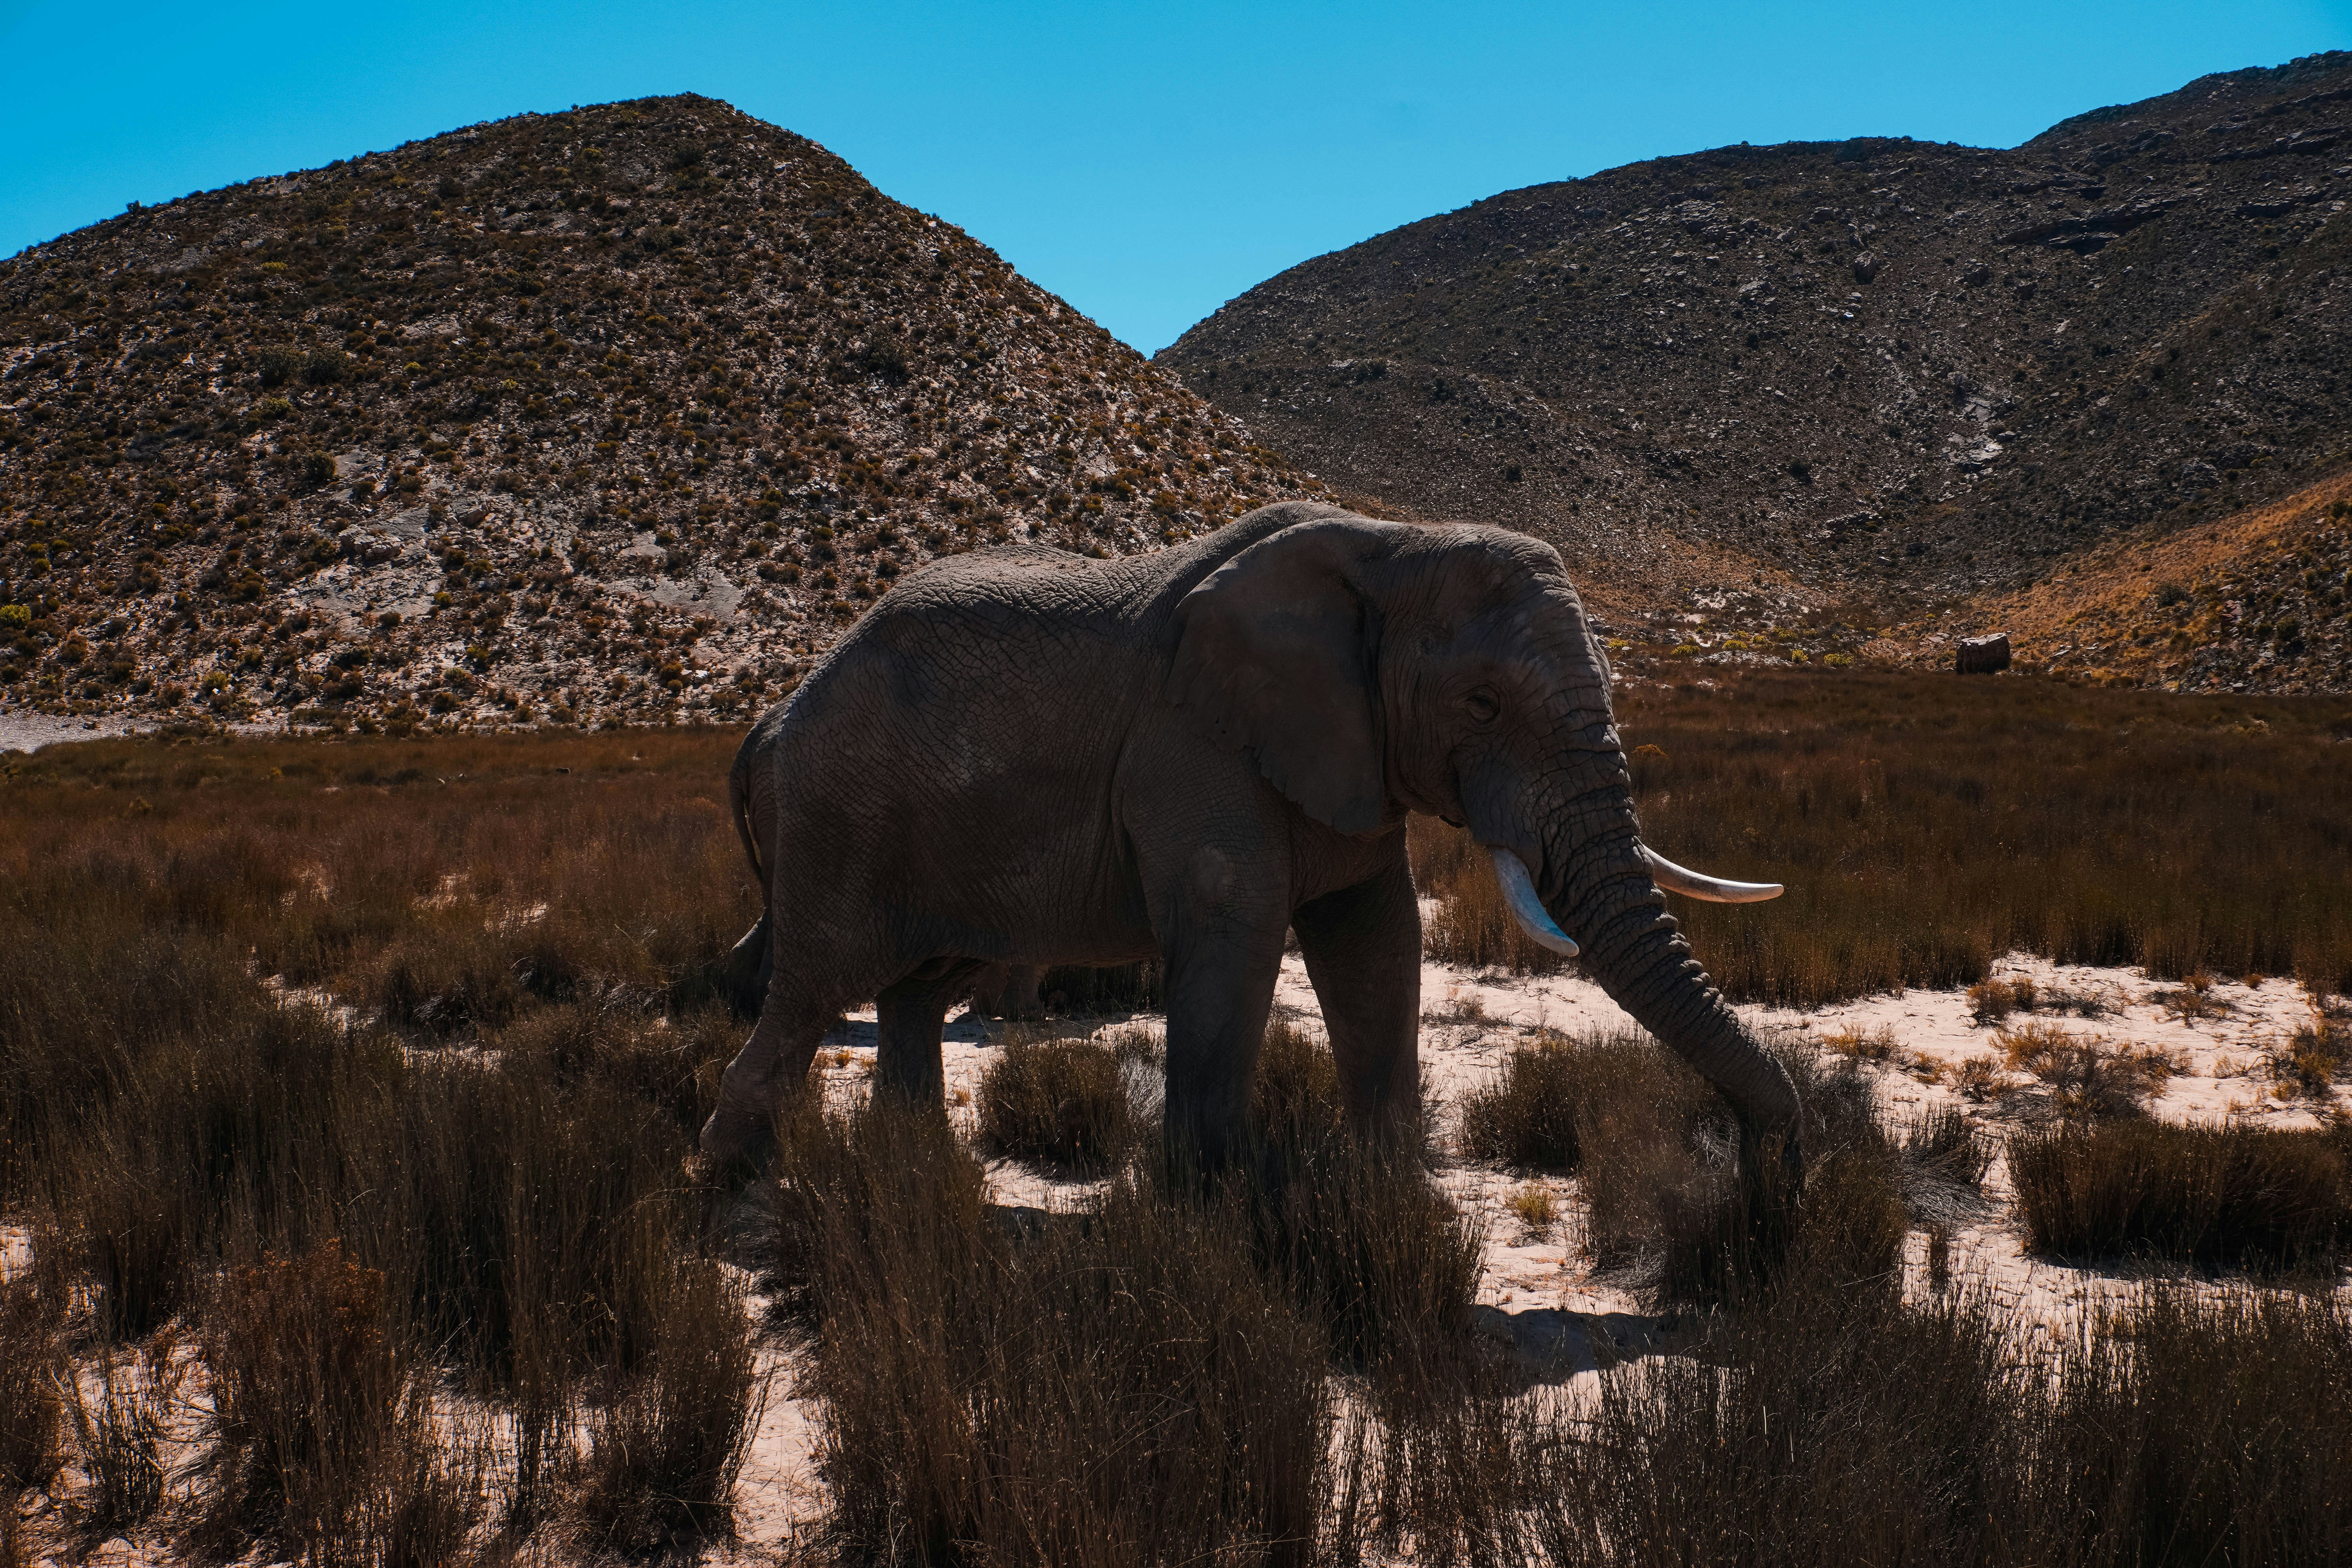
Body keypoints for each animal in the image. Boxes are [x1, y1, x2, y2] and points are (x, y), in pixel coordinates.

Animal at [701, 501, 1798, 1172]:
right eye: (1482, 704)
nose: (1769, 1168)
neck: (1389, 544)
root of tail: (787, 702)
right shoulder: (1195, 743)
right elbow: (1239, 926)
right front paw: (1215, 1206)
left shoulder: (1351, 752)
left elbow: (1376, 939)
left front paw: (1392, 1193)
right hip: (840, 809)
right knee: (814, 988)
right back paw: (737, 1185)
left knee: (917, 990)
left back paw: (915, 1179)